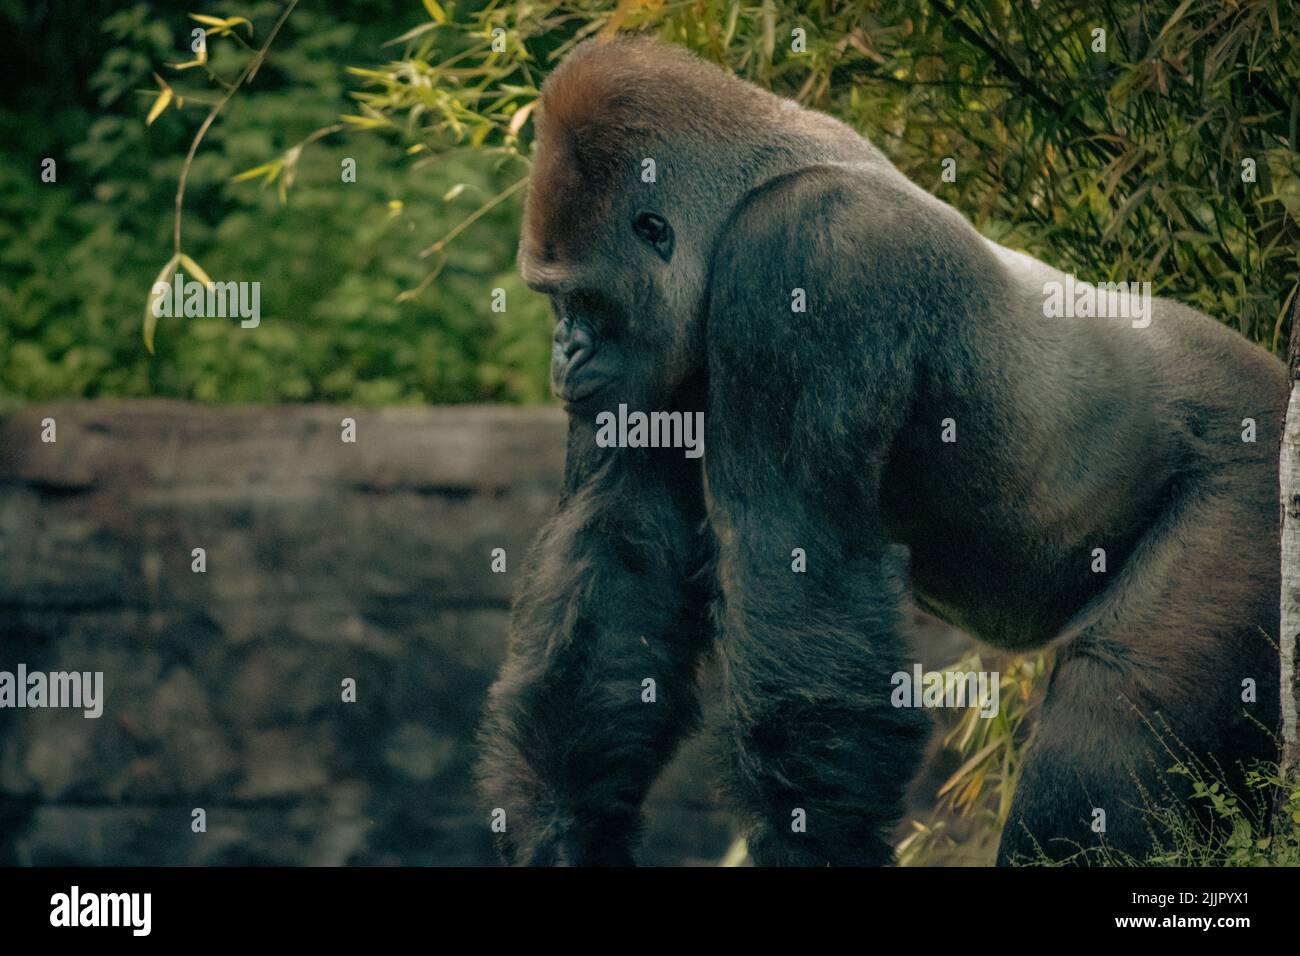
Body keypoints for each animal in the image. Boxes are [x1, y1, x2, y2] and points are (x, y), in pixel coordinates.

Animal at [476, 35, 1284, 866]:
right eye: (551, 299)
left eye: (581, 300)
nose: (564, 352)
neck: (753, 186)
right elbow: (622, 553)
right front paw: (564, 833)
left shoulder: (812, 253)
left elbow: (802, 569)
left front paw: (816, 841)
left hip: (1256, 470)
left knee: (1115, 727)